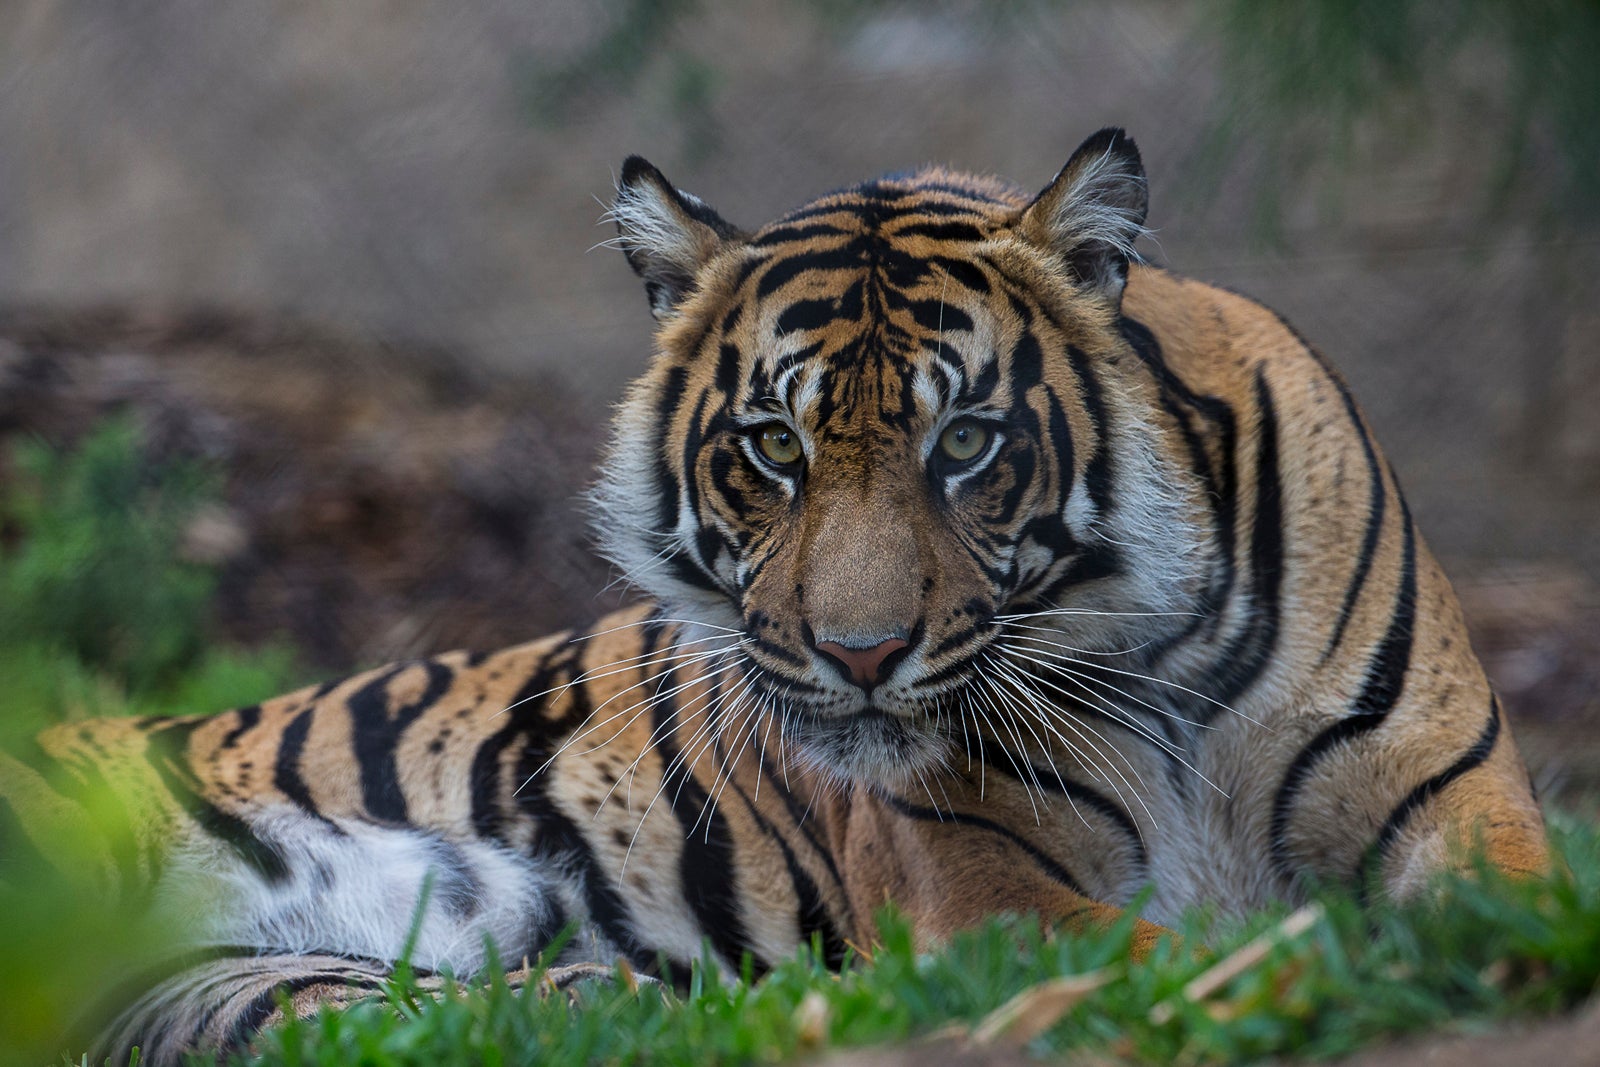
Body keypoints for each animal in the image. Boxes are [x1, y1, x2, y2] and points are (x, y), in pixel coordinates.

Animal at [0, 127, 1548, 1065]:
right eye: (772, 446)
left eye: (964, 441)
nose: (859, 655)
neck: (1154, 659)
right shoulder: (995, 886)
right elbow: (1188, 940)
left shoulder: (1457, 796)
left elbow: (1491, 897)